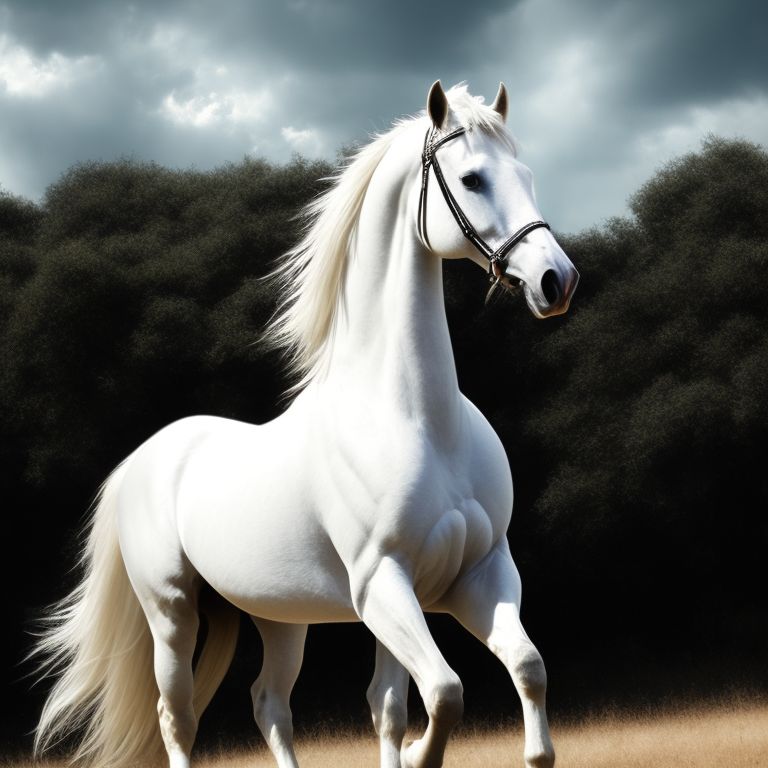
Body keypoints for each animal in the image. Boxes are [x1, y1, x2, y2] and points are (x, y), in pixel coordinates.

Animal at [33, 81, 578, 768]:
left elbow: (502, 676)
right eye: (473, 178)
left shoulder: (475, 575)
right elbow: (444, 692)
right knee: (176, 718)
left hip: (281, 617)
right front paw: (422, 754)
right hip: (172, 614)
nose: (556, 281)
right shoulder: (383, 583)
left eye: (526, 175)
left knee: (269, 704)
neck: (415, 419)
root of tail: (140, 462)